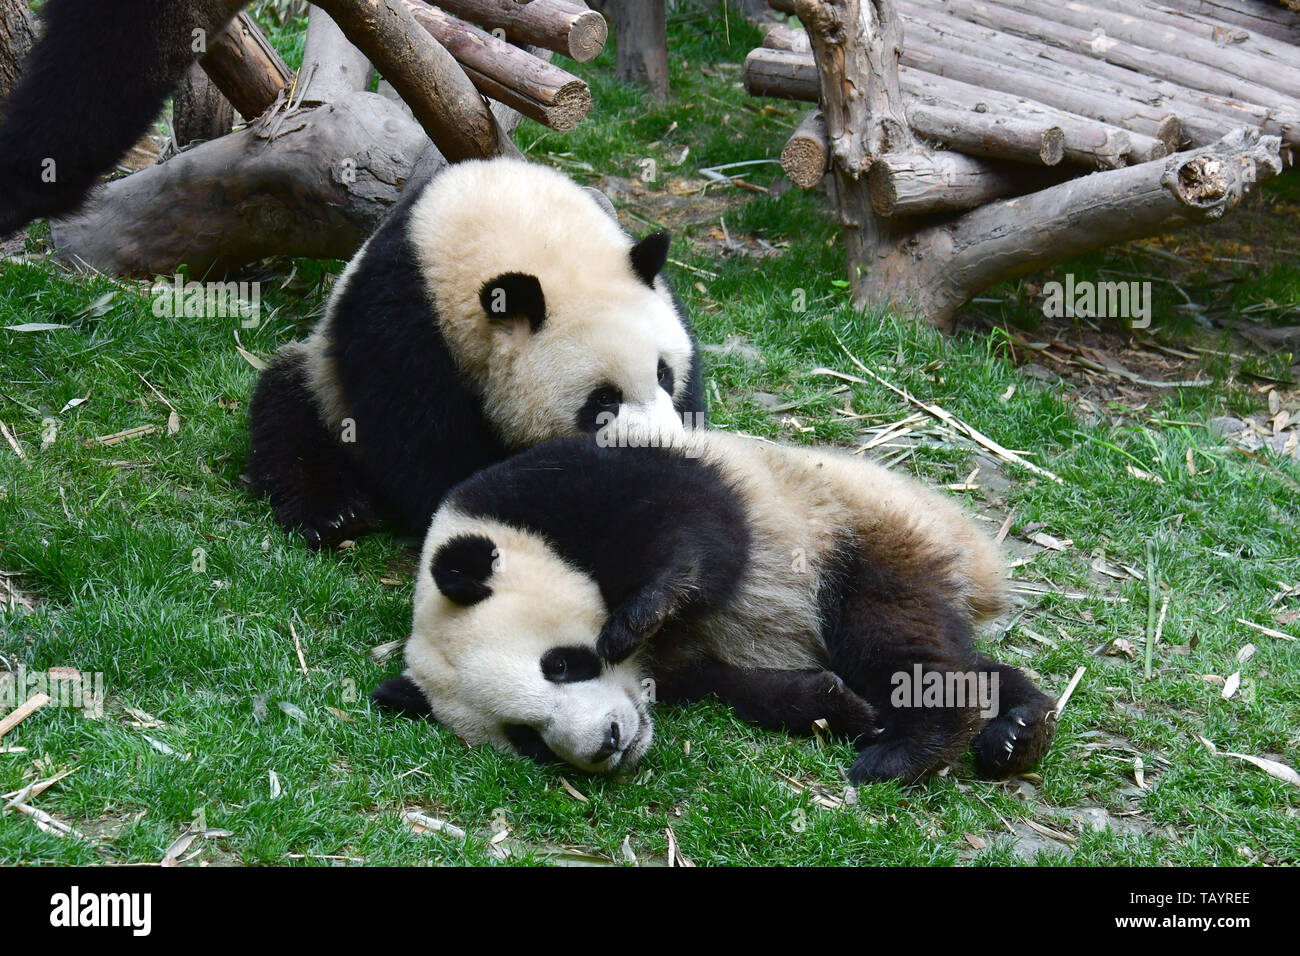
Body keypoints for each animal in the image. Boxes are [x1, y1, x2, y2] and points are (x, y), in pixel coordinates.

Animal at [246, 156, 705, 547]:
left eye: (663, 373)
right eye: (603, 399)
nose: (658, 445)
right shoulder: (405, 324)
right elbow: (425, 446)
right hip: (323, 379)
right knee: (289, 419)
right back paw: (335, 515)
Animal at [372, 430, 1058, 784]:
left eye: (560, 665)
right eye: (527, 738)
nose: (607, 743)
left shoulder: (567, 484)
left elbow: (698, 532)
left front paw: (635, 616)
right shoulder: (680, 671)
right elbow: (729, 684)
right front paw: (830, 706)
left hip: (860, 532)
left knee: (890, 634)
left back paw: (911, 749)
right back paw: (1015, 729)